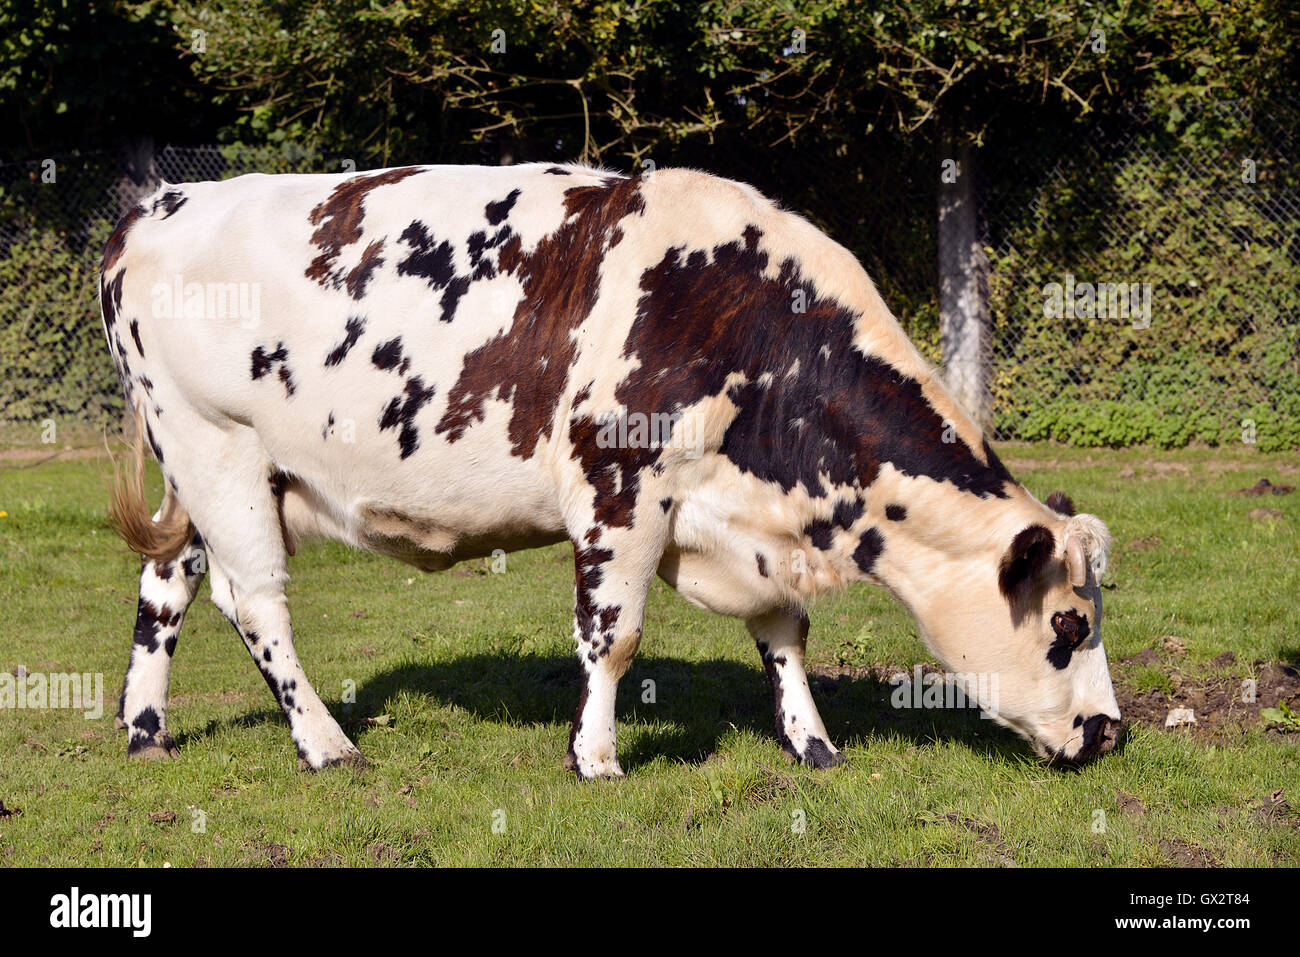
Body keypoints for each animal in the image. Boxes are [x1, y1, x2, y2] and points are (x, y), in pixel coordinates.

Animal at [100, 162, 1121, 779]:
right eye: (1067, 625)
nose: (1111, 729)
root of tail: (159, 203)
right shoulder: (619, 484)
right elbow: (613, 636)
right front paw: (594, 756)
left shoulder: (752, 524)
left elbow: (785, 633)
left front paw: (813, 743)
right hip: (217, 448)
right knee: (255, 601)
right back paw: (324, 741)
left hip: (199, 475)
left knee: (166, 583)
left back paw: (146, 731)